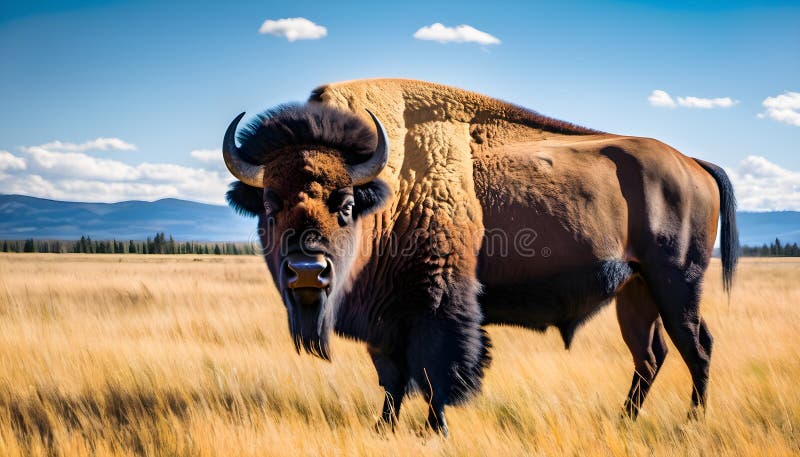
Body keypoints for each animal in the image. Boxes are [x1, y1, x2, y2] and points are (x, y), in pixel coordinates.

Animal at [223, 79, 738, 435]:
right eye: (269, 203)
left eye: (346, 204)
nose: (307, 271)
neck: (390, 190)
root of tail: (691, 163)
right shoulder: (383, 317)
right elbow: (391, 376)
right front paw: (384, 428)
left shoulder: (438, 305)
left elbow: (437, 373)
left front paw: (434, 430)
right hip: (635, 292)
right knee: (650, 355)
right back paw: (624, 419)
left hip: (677, 284)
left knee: (697, 347)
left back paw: (692, 423)